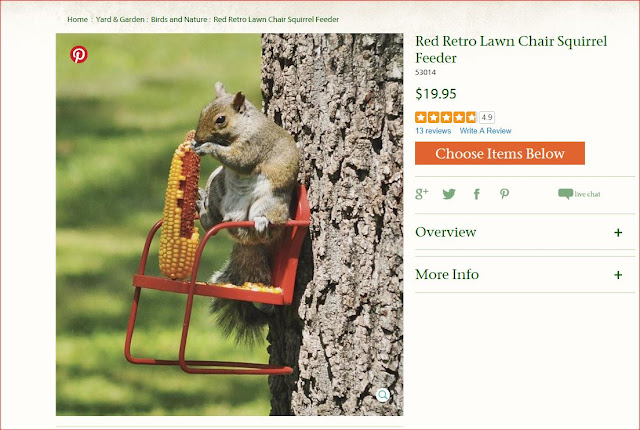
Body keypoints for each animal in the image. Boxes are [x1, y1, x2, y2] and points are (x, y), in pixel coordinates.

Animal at [192, 82, 299, 345]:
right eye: (203, 110)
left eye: (221, 119)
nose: (197, 137)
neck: (245, 126)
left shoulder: (254, 145)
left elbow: (239, 160)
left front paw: (208, 147)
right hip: (216, 183)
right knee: (213, 222)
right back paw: (203, 209)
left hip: (271, 201)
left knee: (269, 225)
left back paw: (261, 223)